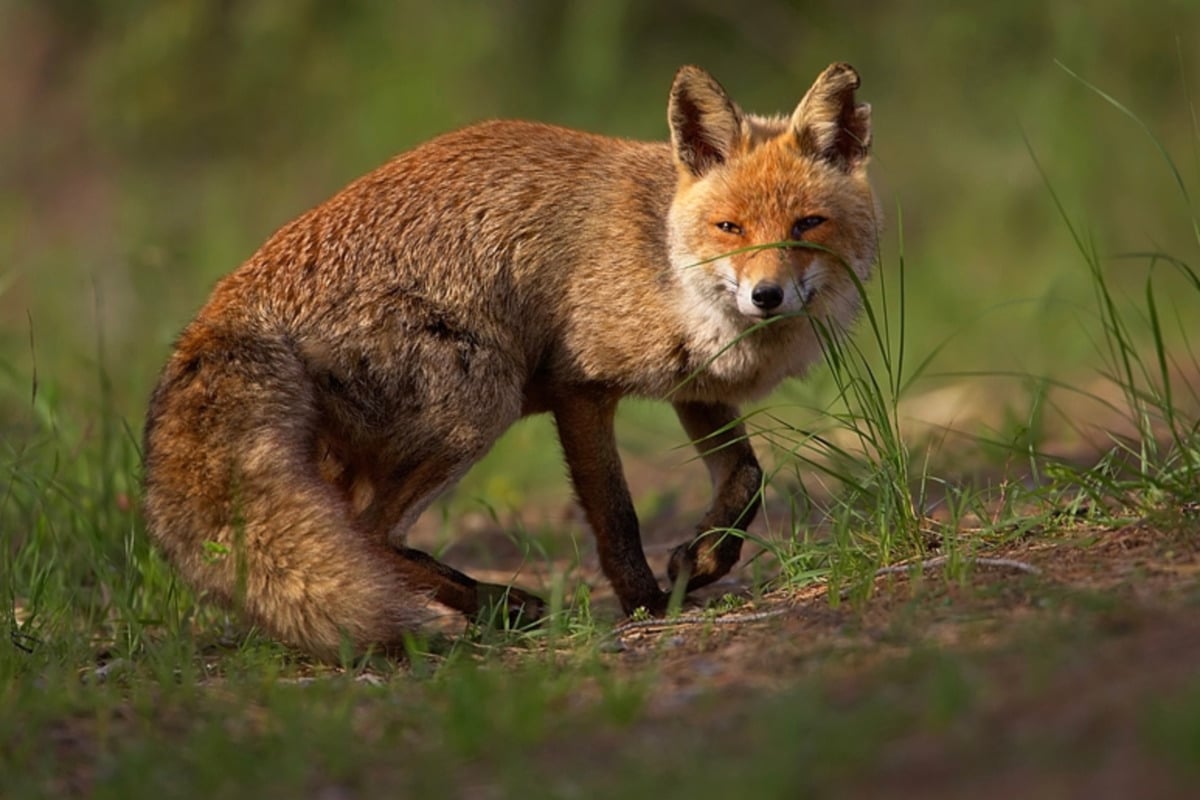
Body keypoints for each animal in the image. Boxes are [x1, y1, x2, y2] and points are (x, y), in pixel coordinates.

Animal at [142, 62, 880, 659]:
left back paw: (486, 605)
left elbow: (746, 478)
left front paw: (701, 559)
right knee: (368, 533)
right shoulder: (579, 386)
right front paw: (646, 603)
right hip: (479, 402)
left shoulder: (693, 384)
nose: (766, 296)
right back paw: (492, 605)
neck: (664, 259)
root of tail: (224, 304)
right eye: (730, 228)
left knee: (353, 532)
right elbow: (617, 518)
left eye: (807, 225)